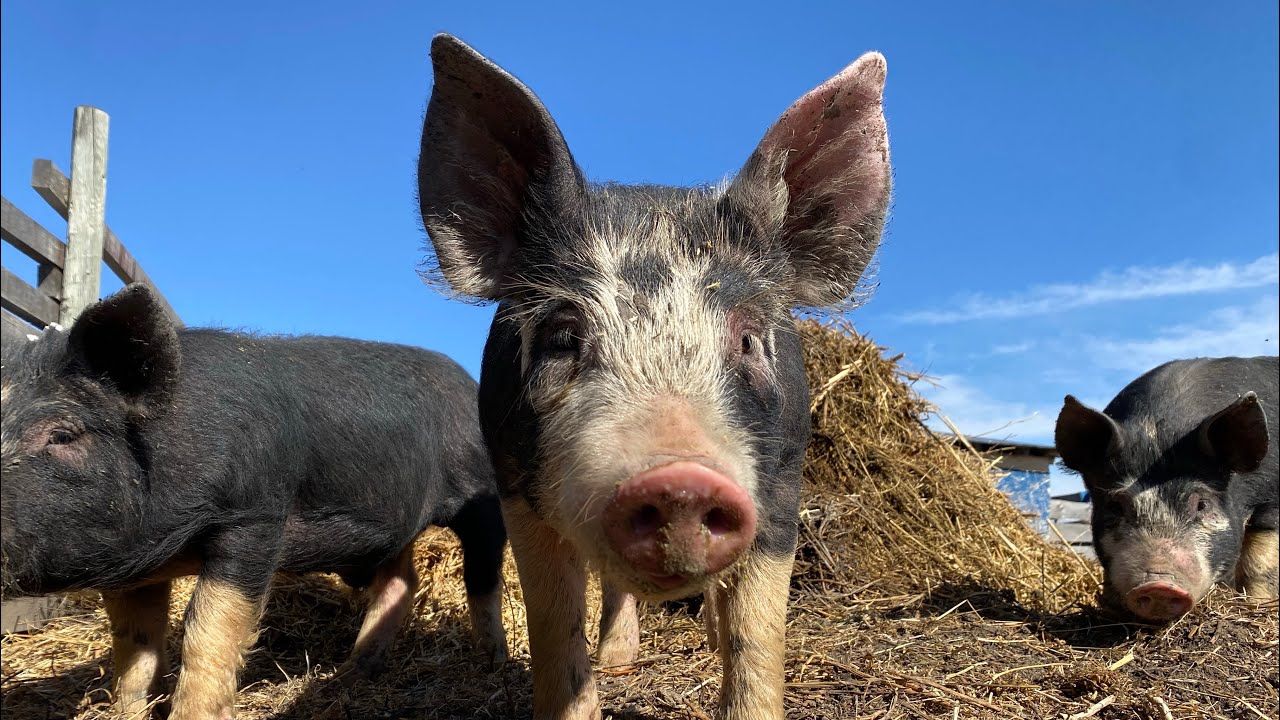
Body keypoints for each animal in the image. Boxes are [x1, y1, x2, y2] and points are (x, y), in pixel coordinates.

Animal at [0, 284, 508, 719]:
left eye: (62, 435)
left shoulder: (254, 517)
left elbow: (206, 627)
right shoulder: (132, 572)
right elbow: (133, 651)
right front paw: (127, 712)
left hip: (482, 496)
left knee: (482, 576)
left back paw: (494, 665)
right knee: (401, 580)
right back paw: (352, 674)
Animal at [416, 34, 891, 719]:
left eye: (749, 338)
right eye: (562, 336)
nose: (680, 482)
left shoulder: (781, 488)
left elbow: (759, 635)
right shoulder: (516, 490)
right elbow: (554, 628)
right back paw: (619, 663)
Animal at [1055, 356, 1279, 622]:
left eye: (1202, 504)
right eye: (1115, 506)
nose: (1158, 586)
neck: (1158, 432)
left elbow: (1260, 563)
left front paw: (1257, 605)